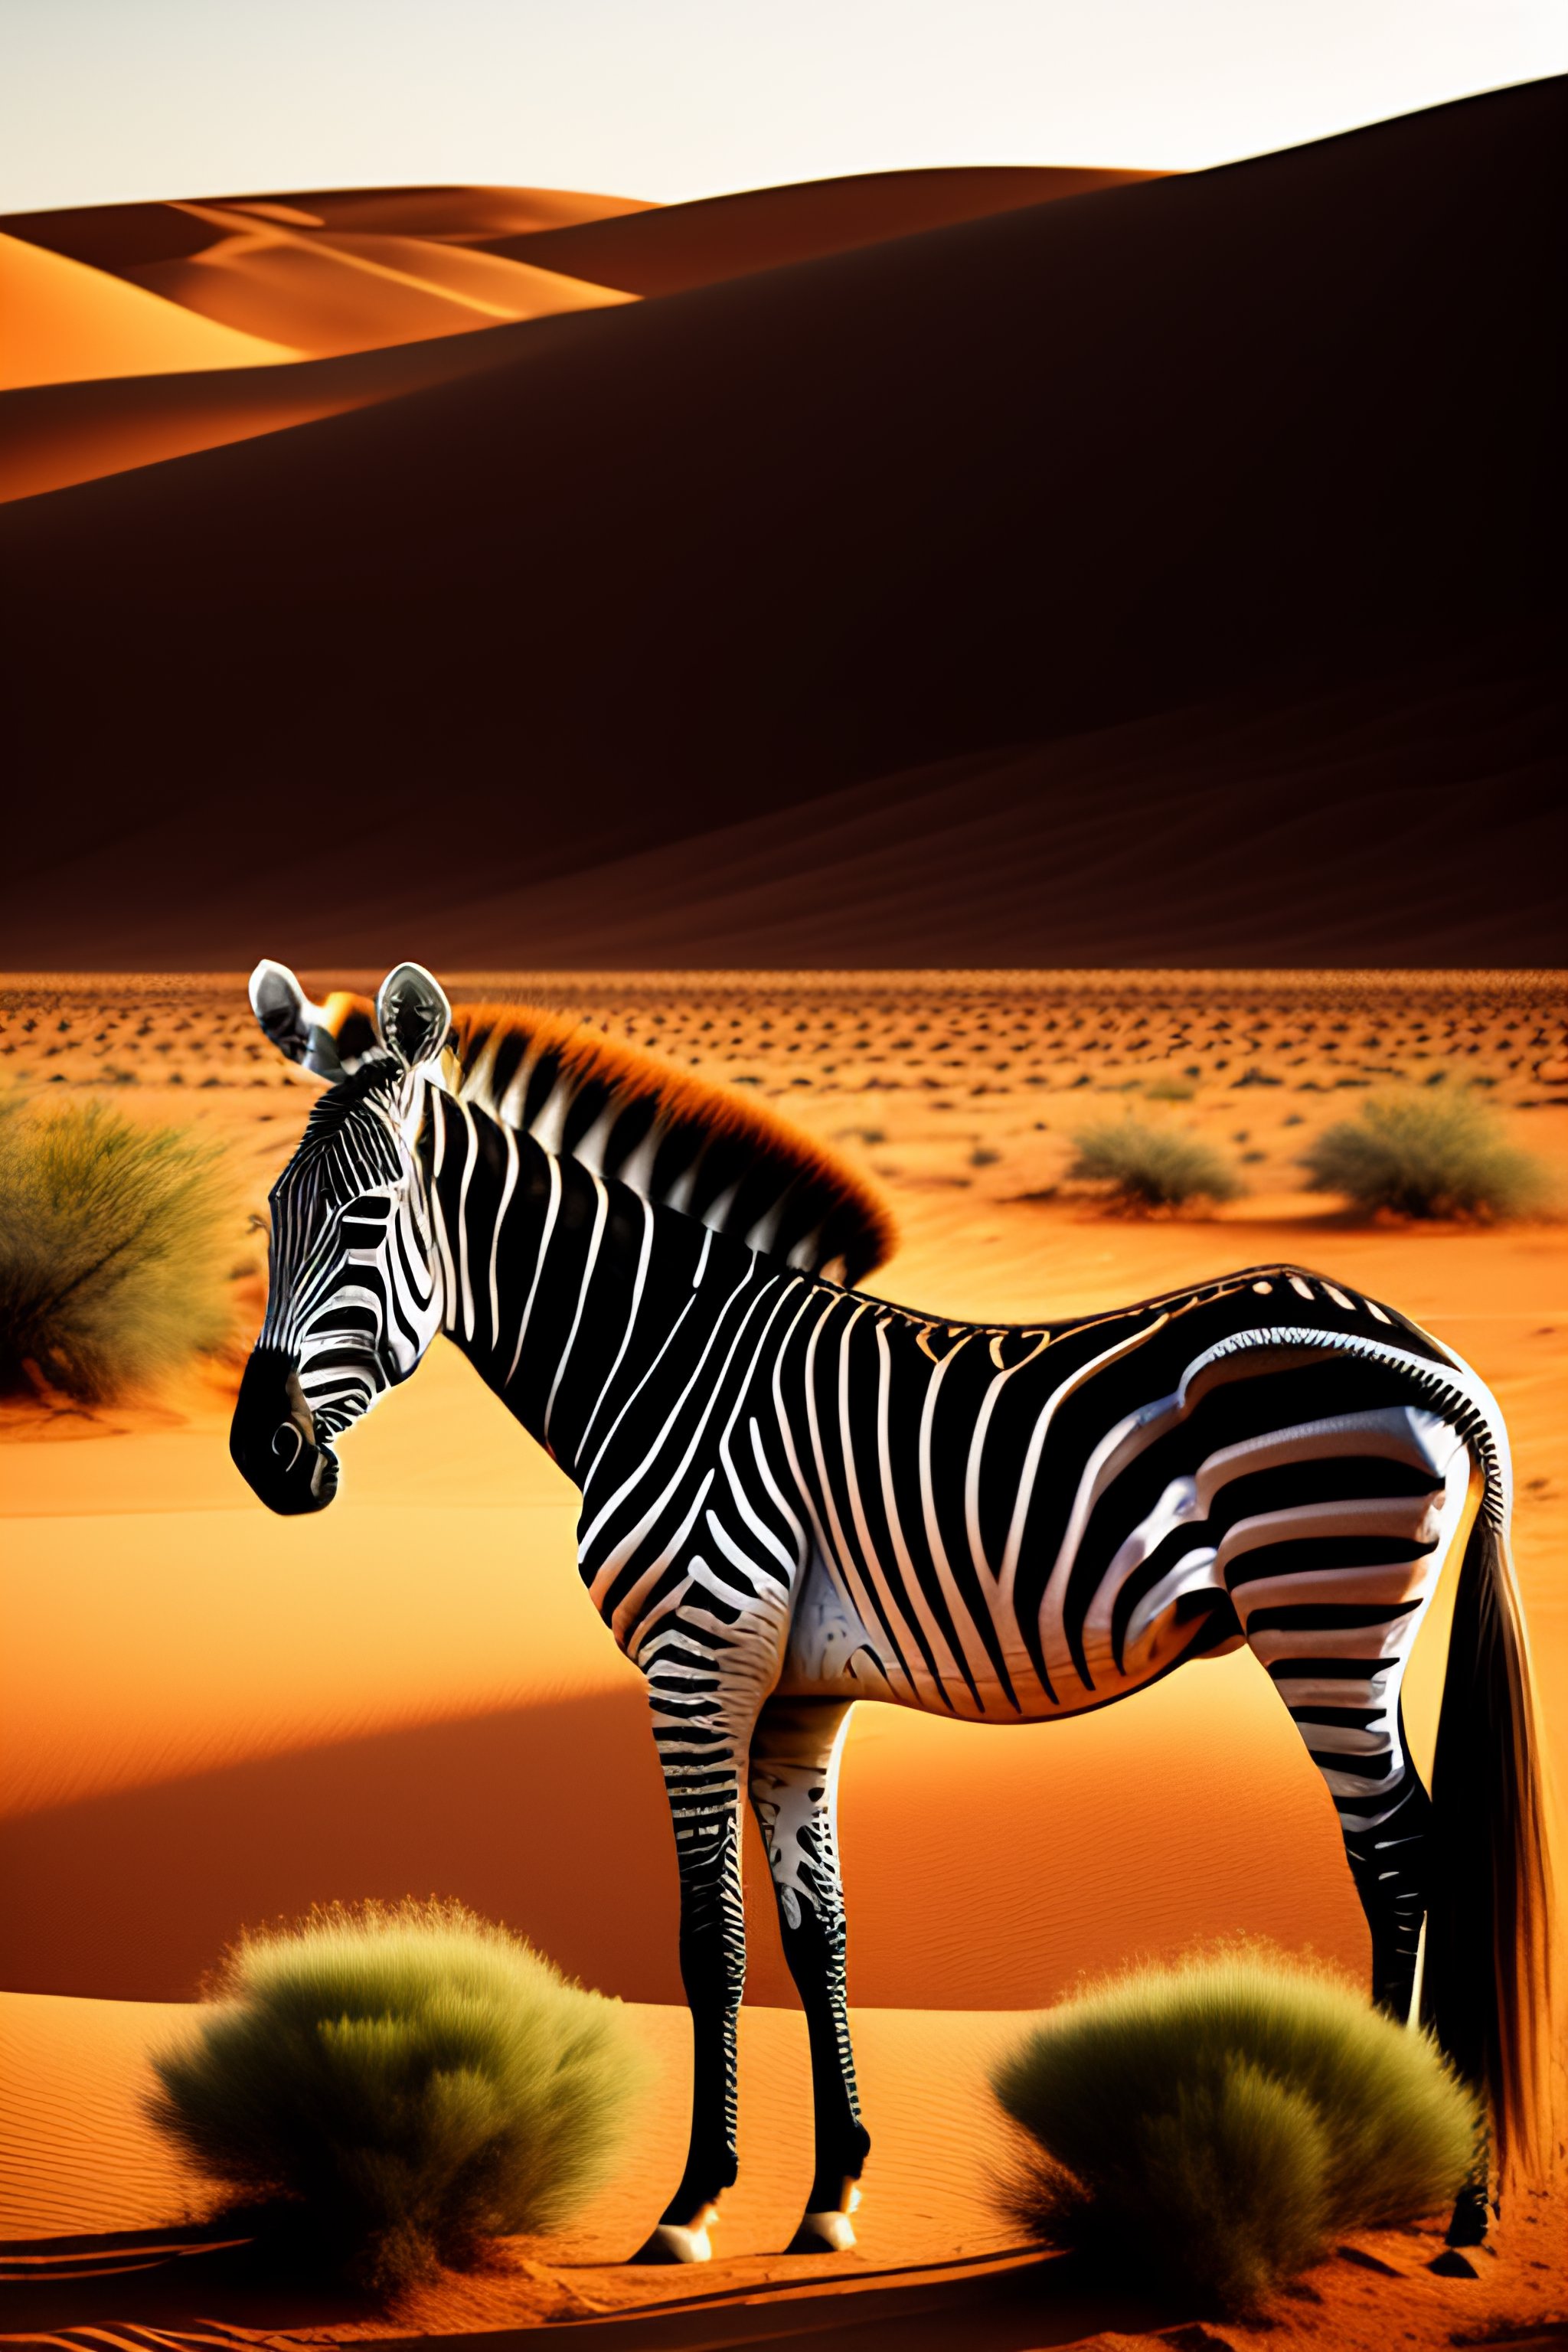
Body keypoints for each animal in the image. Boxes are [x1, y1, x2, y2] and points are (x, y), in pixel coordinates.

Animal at [232, 961, 1552, 2265]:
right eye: (270, 1215)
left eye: (364, 1220)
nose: (263, 1456)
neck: (663, 1362)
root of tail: (1426, 1350)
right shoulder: (797, 1698)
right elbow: (817, 1933)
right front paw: (831, 2193)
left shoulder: (696, 1661)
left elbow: (709, 1937)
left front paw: (691, 2204)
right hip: (1349, 1618)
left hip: (1319, 1605)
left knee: (1400, 1854)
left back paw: (1424, 2188)